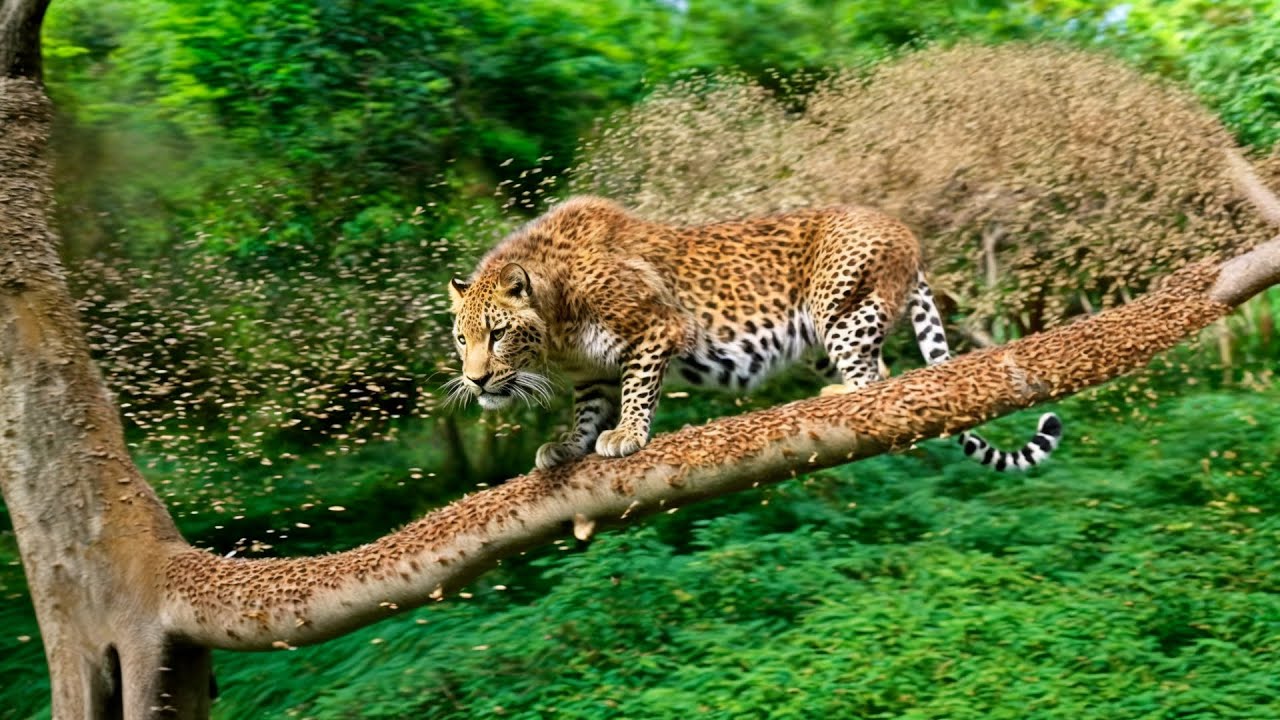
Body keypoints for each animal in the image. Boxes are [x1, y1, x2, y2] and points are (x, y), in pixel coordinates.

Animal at [445, 197, 1063, 472]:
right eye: (461, 339)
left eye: (496, 334)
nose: (474, 381)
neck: (555, 330)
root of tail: (903, 232)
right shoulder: (590, 371)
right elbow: (587, 410)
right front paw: (569, 446)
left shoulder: (657, 327)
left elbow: (637, 389)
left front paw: (628, 435)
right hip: (822, 335)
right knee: (881, 368)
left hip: (838, 307)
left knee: (876, 378)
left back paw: (843, 395)